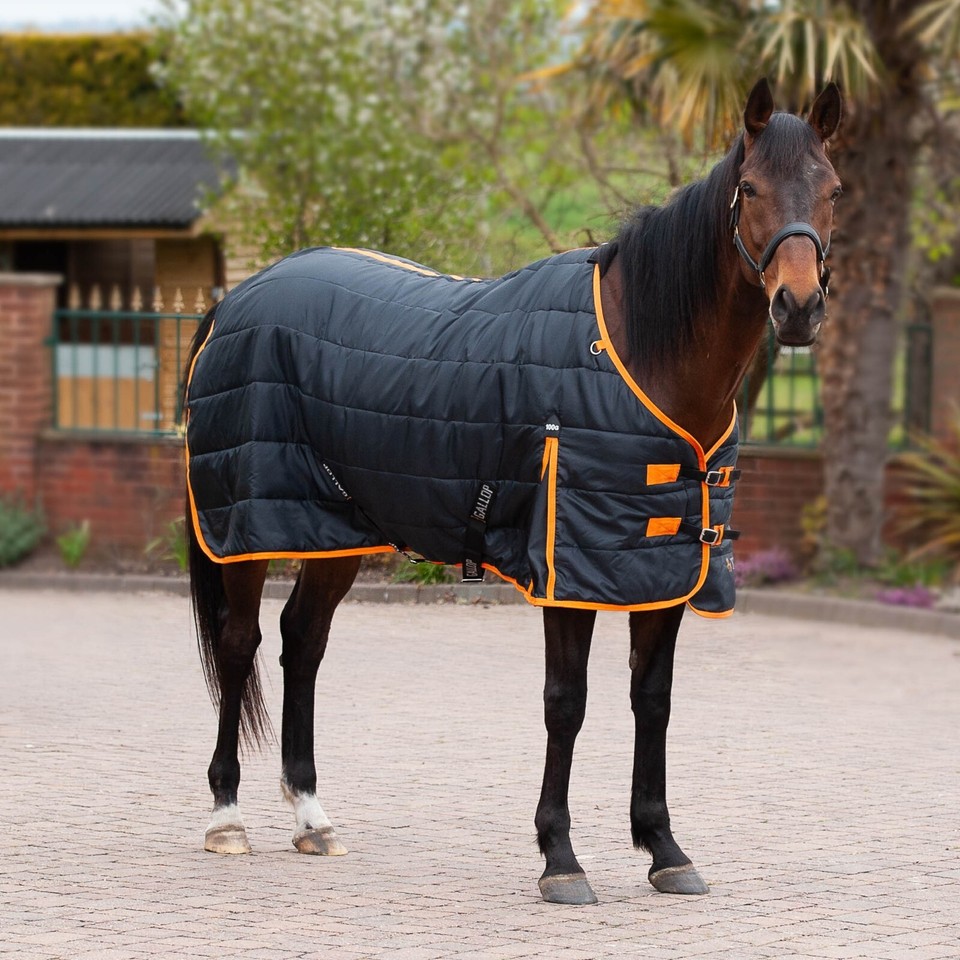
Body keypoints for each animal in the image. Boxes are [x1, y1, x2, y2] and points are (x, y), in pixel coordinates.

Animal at [183, 78, 842, 906]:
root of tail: (234, 301)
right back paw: (225, 817)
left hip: (334, 529)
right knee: (239, 645)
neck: (638, 352)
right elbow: (568, 704)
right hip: (248, 528)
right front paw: (560, 857)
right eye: (749, 188)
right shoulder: (569, 569)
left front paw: (664, 848)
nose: (799, 307)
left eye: (833, 189)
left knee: (303, 642)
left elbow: (652, 701)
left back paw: (312, 818)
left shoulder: (662, 567)